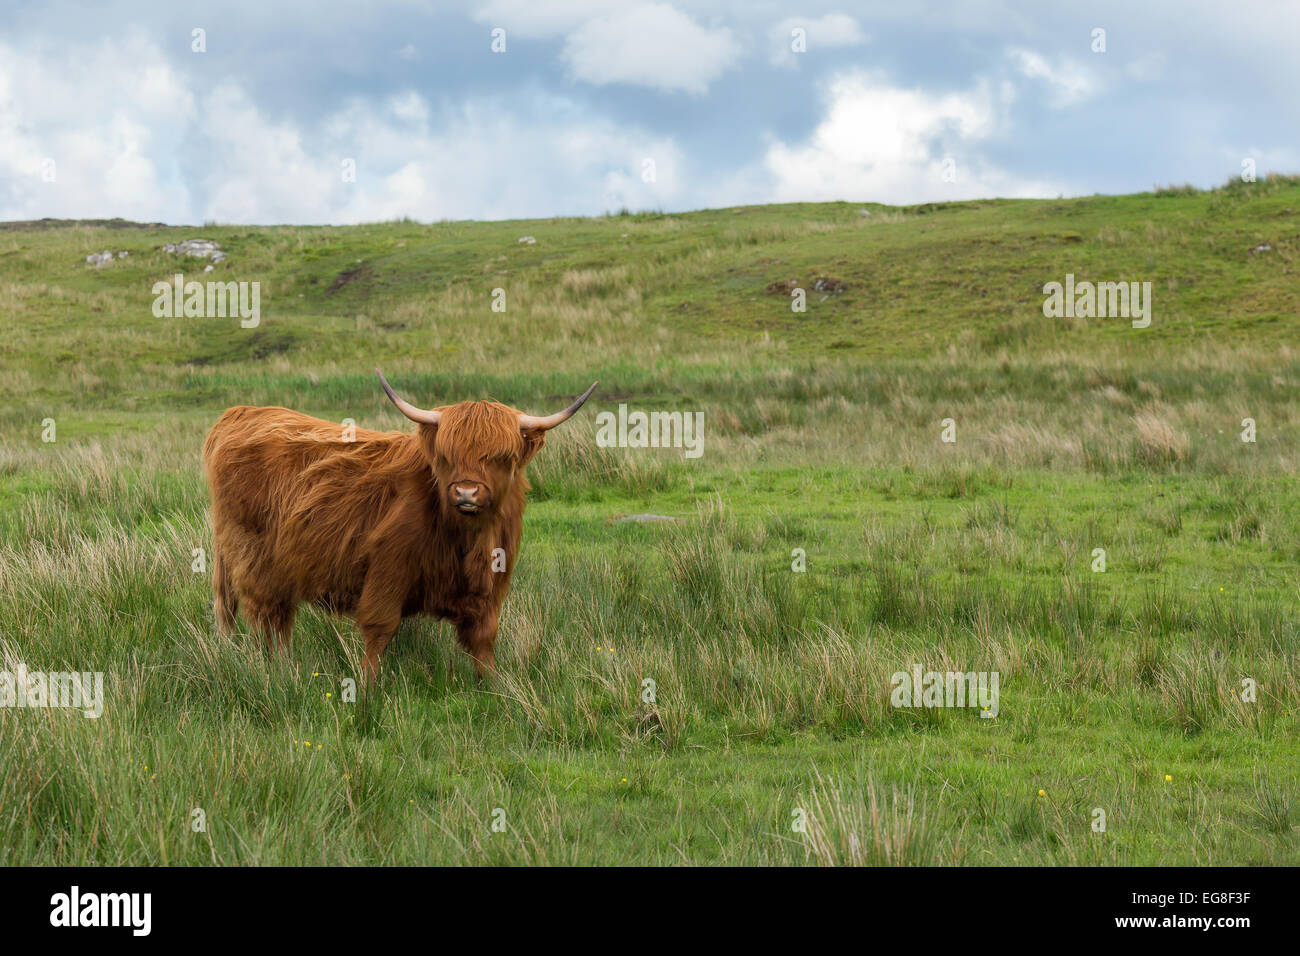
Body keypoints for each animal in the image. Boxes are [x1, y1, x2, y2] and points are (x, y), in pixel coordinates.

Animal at [202, 371, 597, 681]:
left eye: (501, 457)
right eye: (448, 455)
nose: (466, 492)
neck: (469, 539)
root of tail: (242, 413)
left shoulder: (493, 584)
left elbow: (483, 641)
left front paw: (495, 689)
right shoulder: (386, 571)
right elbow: (378, 632)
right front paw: (368, 689)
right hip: (255, 562)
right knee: (265, 619)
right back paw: (277, 672)